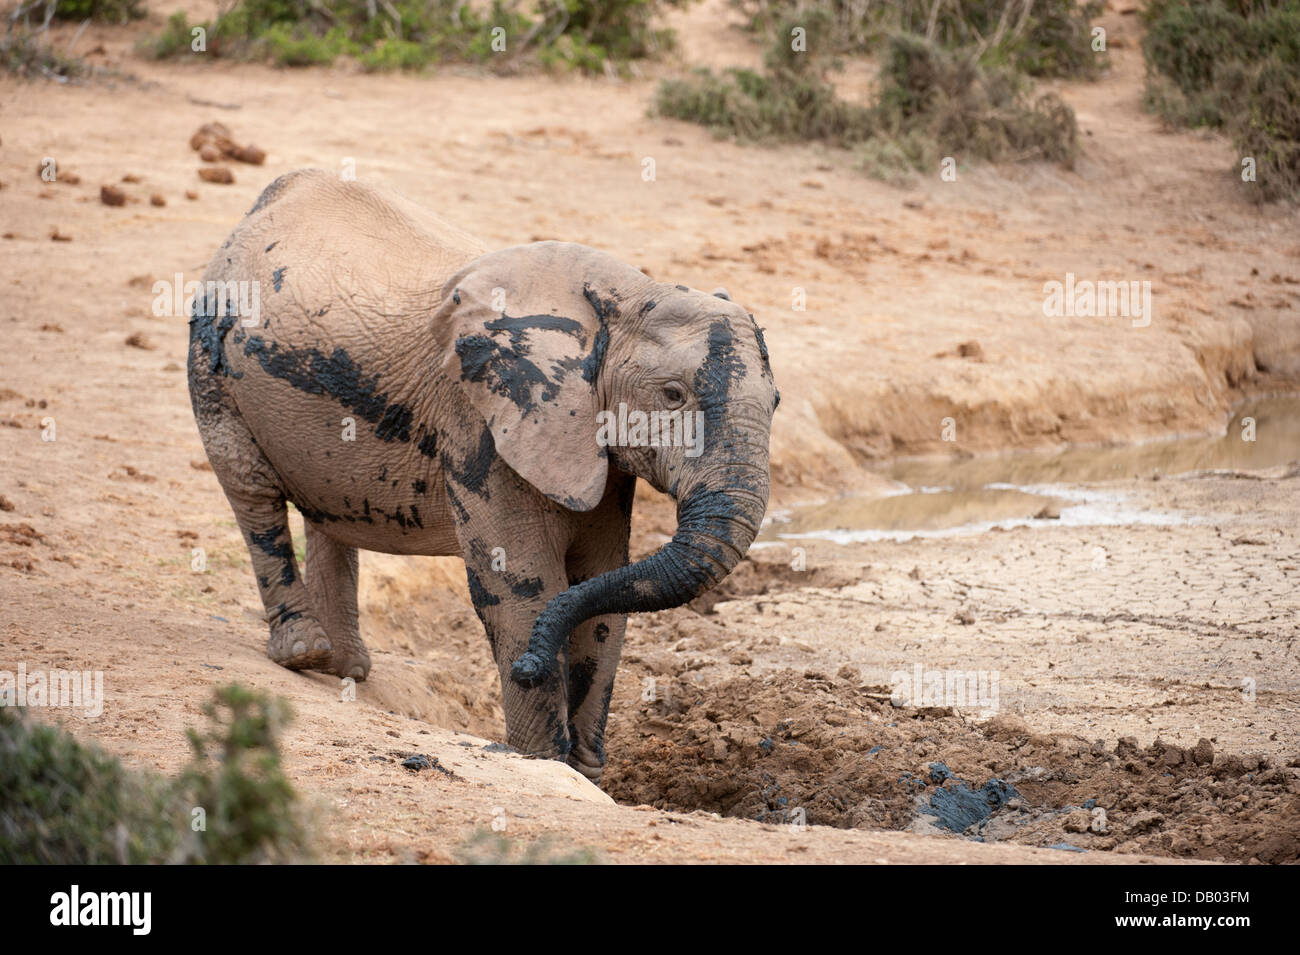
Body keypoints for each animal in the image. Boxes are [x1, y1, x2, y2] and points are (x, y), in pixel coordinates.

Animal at [187, 169, 778, 782]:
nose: (525, 668)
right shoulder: (482, 421)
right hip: (210, 355)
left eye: (778, 401)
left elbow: (602, 587)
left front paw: (587, 776)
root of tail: (274, 195)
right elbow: (524, 588)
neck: (629, 297)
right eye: (673, 394)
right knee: (251, 490)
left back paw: (344, 670)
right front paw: (544, 762)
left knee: (326, 513)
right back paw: (304, 653)